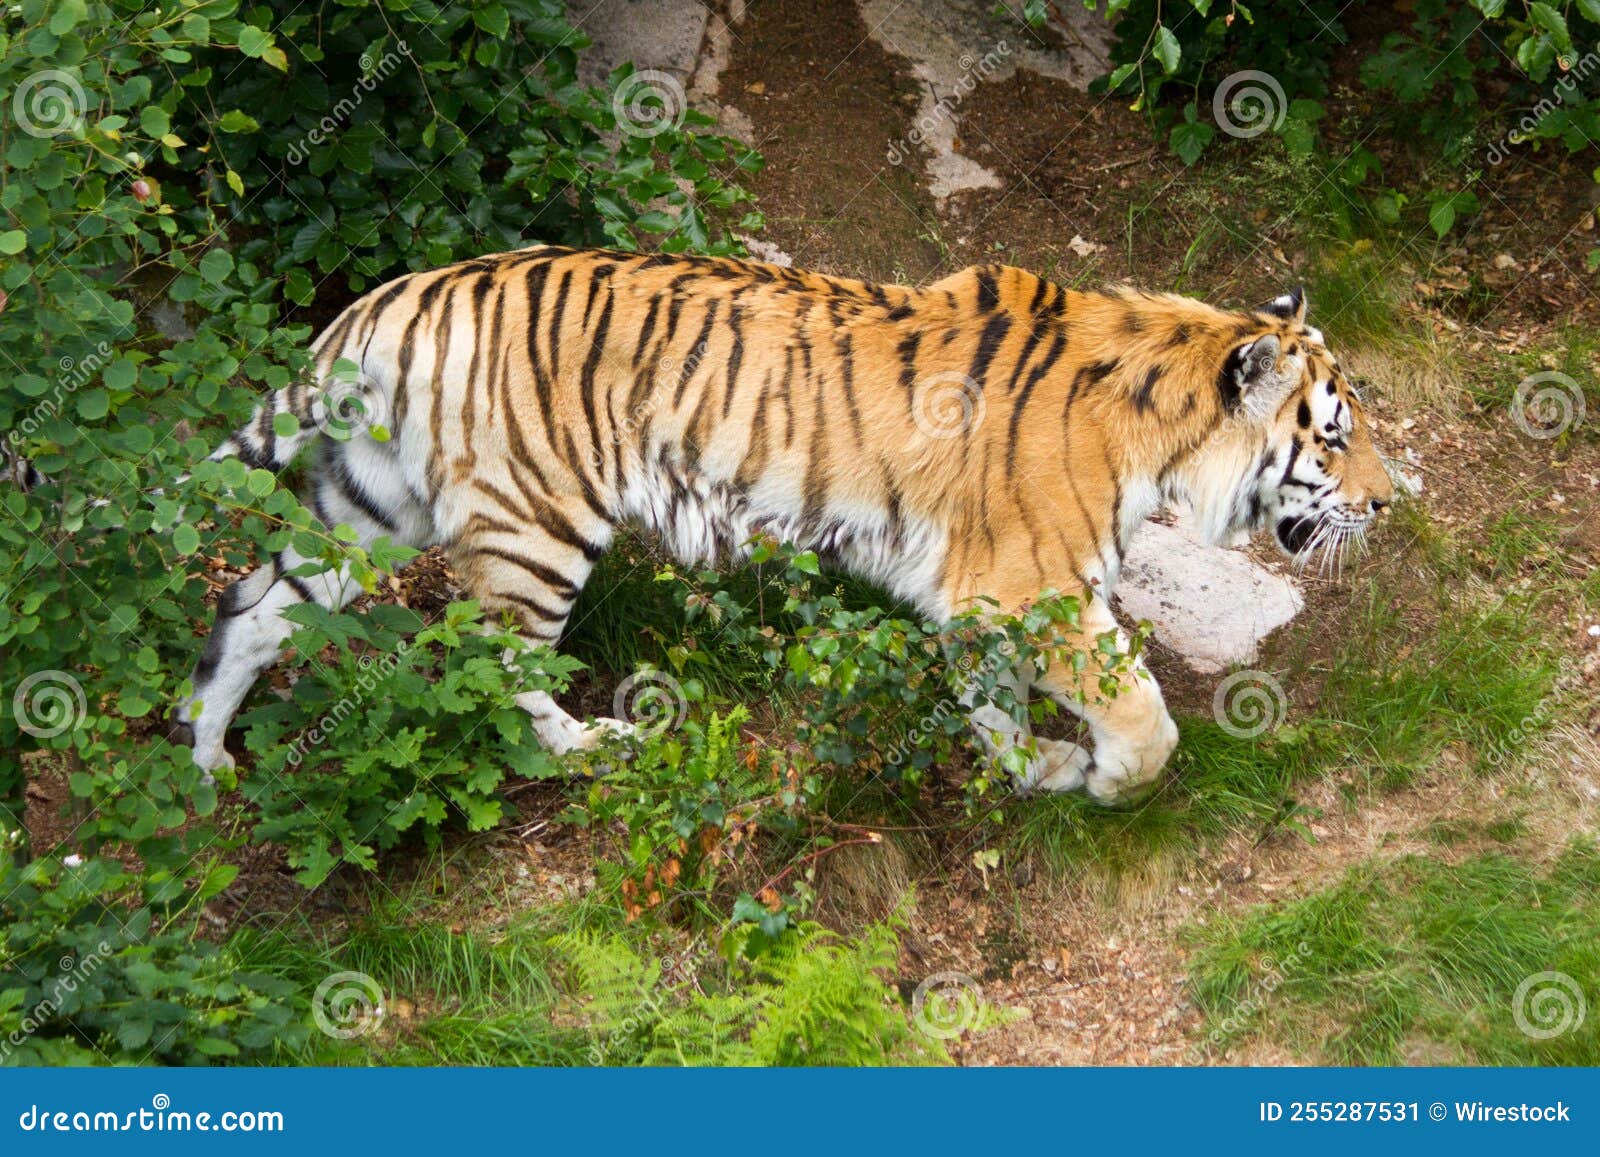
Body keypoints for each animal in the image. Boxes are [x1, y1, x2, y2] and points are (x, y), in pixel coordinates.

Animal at [171, 245, 1393, 803]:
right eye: (1333, 437)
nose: (1388, 502)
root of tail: (399, 295)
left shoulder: (975, 596)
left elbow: (987, 695)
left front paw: (1029, 767)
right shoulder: (1032, 587)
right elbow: (1142, 717)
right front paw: (1102, 781)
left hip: (365, 506)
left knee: (252, 605)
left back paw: (206, 753)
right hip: (535, 528)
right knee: (491, 659)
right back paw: (589, 744)